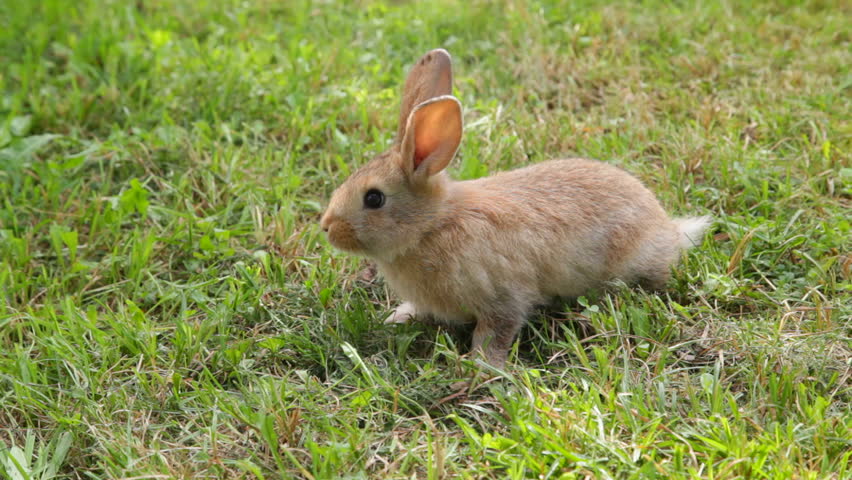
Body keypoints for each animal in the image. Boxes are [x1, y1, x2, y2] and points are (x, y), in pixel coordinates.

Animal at [320, 49, 710, 367]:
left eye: (374, 198)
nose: (327, 227)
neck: (433, 225)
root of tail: (668, 230)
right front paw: (399, 317)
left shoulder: (502, 294)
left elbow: (497, 330)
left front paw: (480, 366)